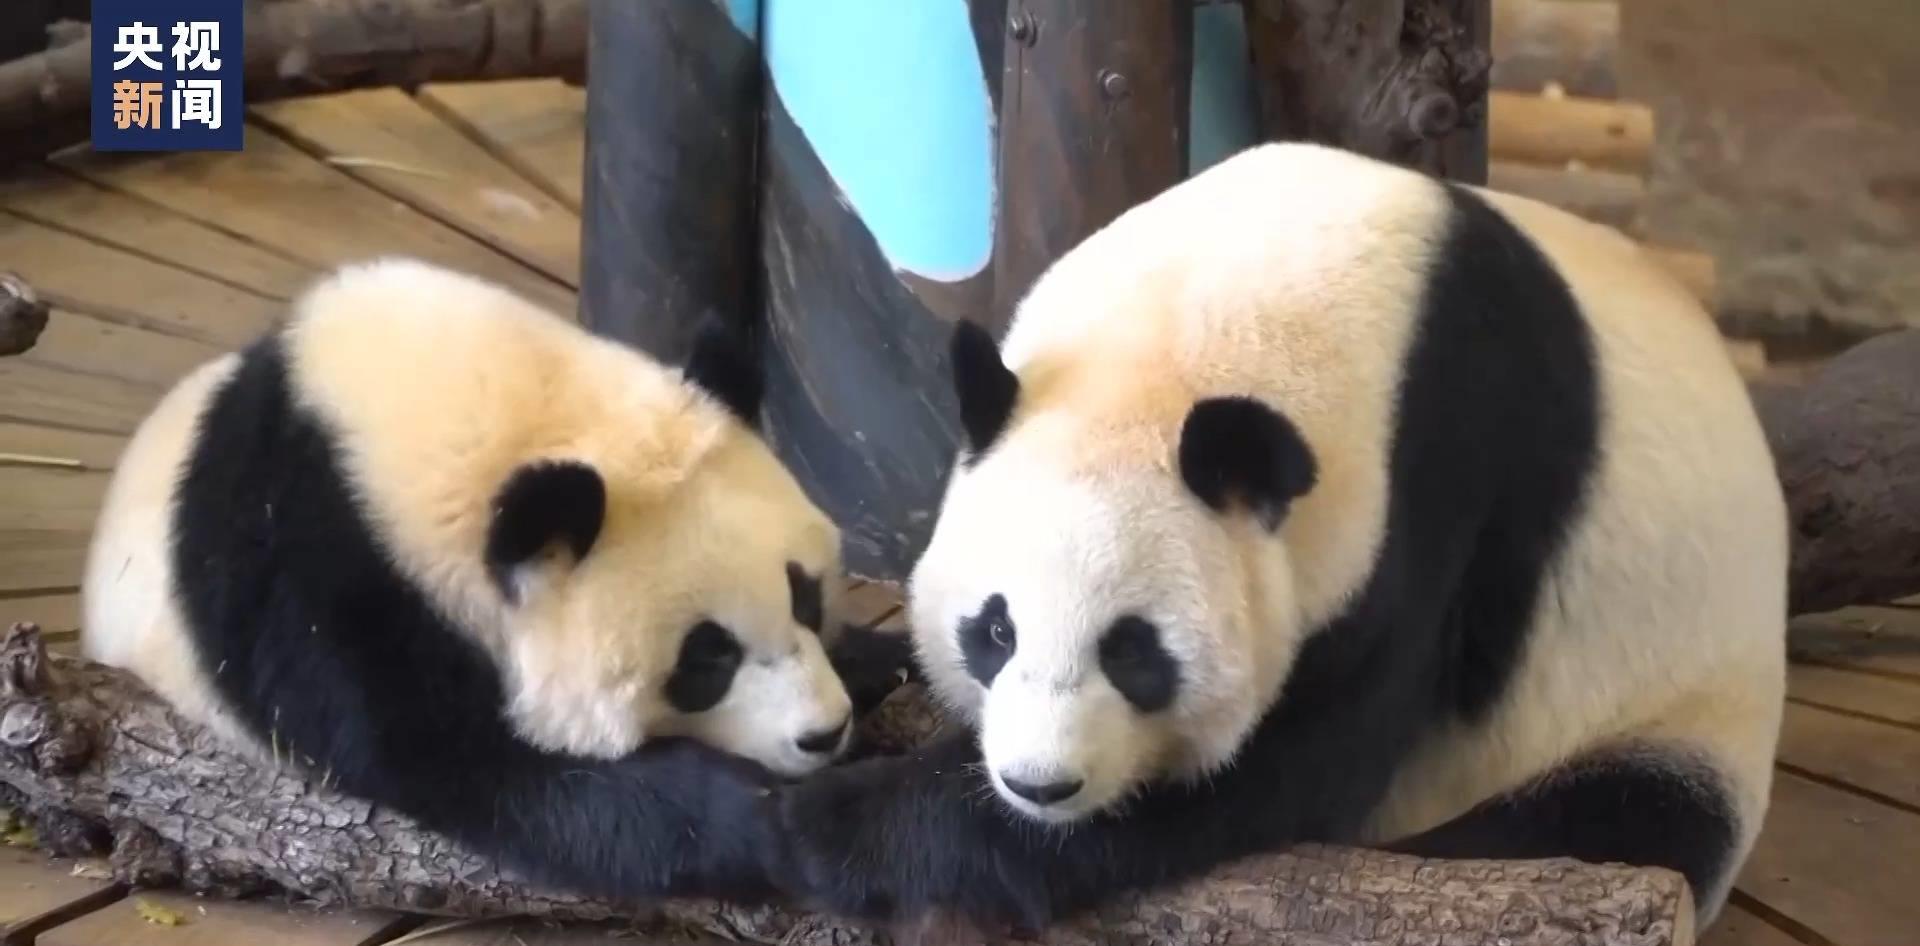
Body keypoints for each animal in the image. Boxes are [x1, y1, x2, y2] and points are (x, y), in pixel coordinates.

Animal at [81, 257, 880, 901]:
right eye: (707, 659)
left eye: (806, 596)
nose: (824, 732)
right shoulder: (320, 585)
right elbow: (470, 771)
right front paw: (747, 815)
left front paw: (880, 665)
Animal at [768, 142, 1788, 930]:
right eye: (994, 629)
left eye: (1136, 653)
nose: (1040, 786)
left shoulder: (1441, 480)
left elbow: (1289, 764)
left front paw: (822, 825)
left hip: (1671, 707)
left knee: (1611, 822)